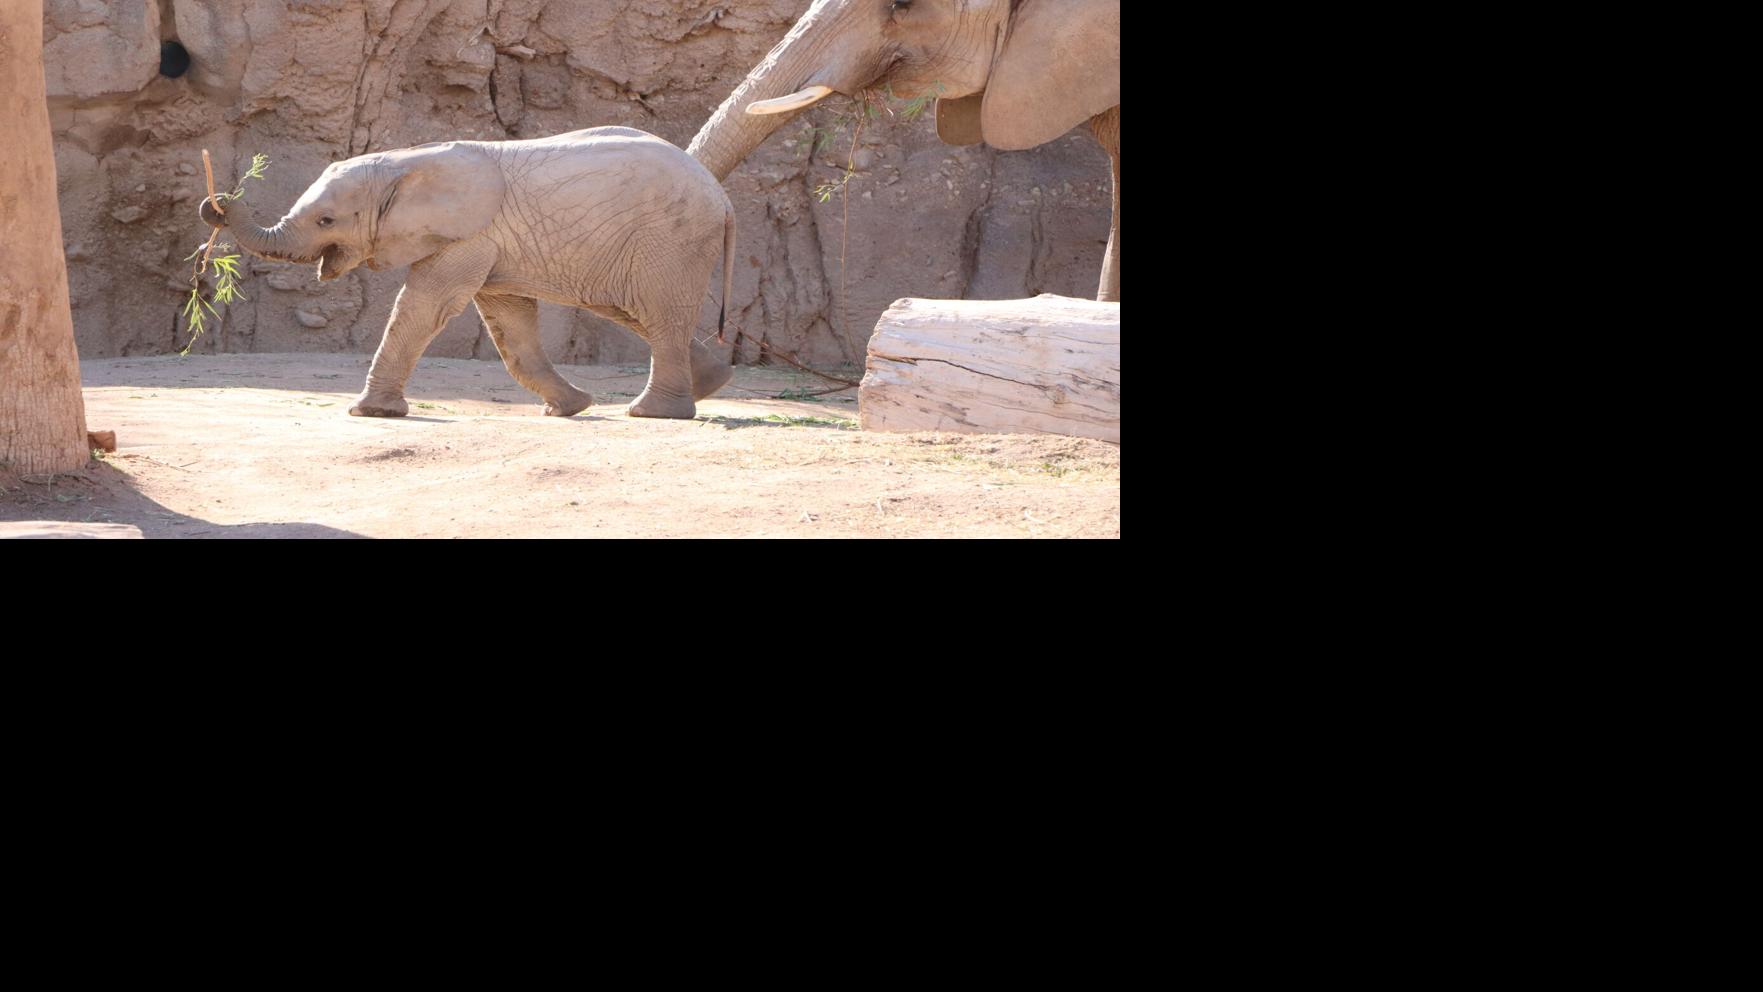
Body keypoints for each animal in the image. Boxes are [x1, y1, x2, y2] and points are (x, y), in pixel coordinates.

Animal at [199, 127, 736, 419]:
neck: (403, 162)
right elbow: (508, 323)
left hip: (672, 239)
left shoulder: (470, 233)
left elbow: (427, 305)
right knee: (635, 313)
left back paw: (652, 412)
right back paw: (709, 385)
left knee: (659, 315)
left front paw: (369, 412)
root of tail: (724, 199)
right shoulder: (492, 243)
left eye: (326, 221)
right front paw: (570, 408)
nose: (217, 204)